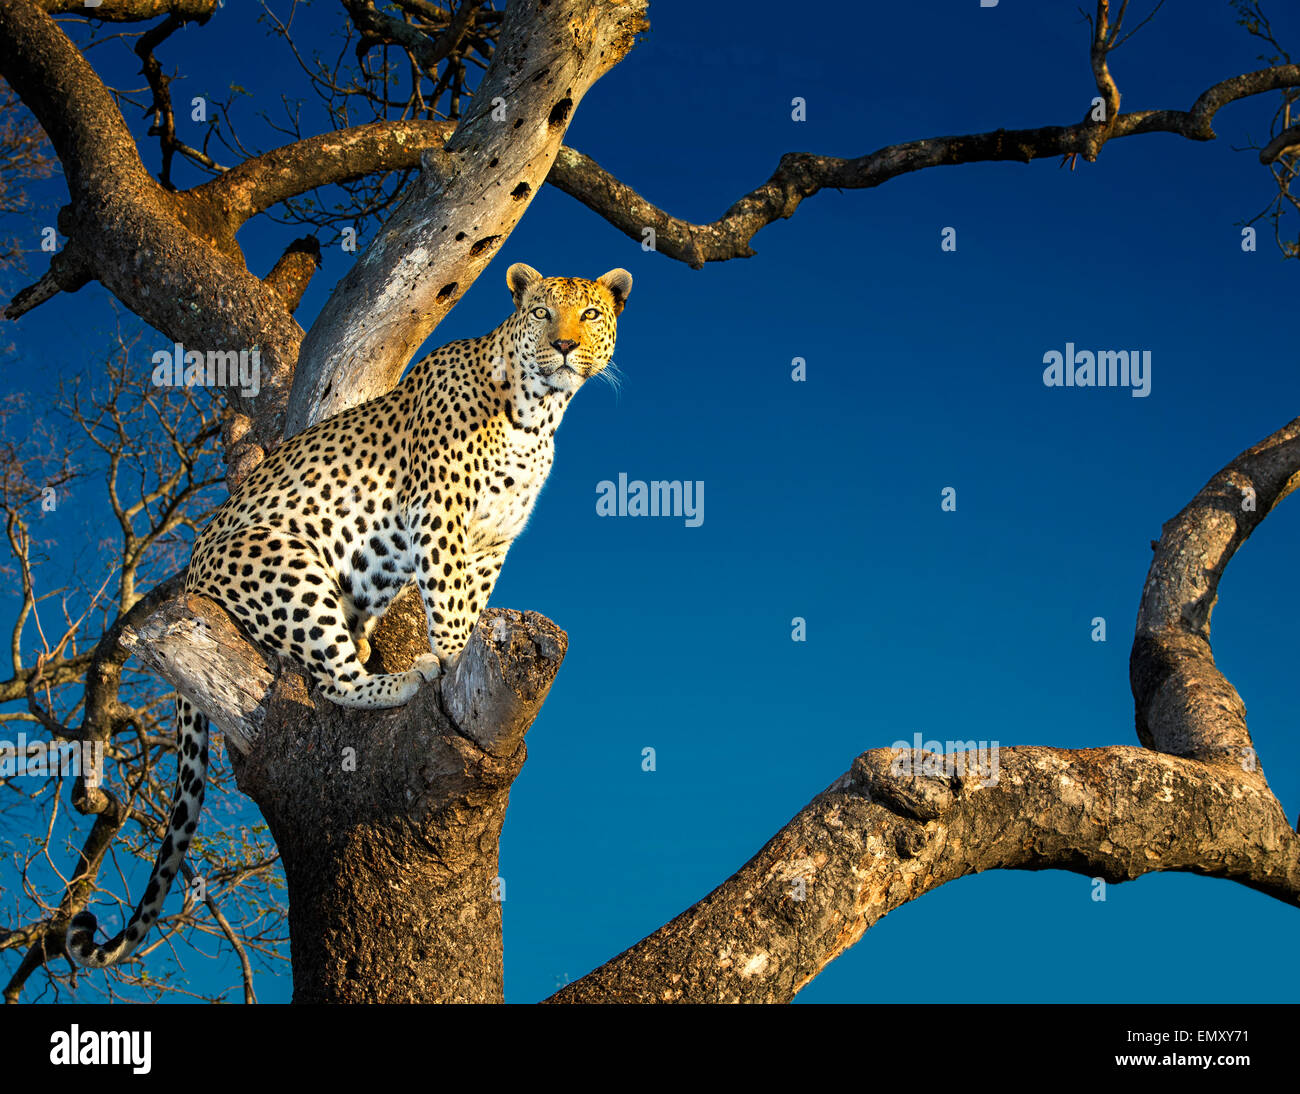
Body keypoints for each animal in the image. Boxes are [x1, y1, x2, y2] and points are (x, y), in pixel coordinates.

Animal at [66, 262, 632, 968]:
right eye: (540, 314)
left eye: (590, 313)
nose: (563, 345)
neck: (536, 416)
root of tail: (191, 573)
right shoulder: (440, 513)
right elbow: (448, 602)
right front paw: (451, 662)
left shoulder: (492, 541)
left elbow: (472, 602)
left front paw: (469, 652)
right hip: (286, 562)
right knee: (330, 676)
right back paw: (395, 678)